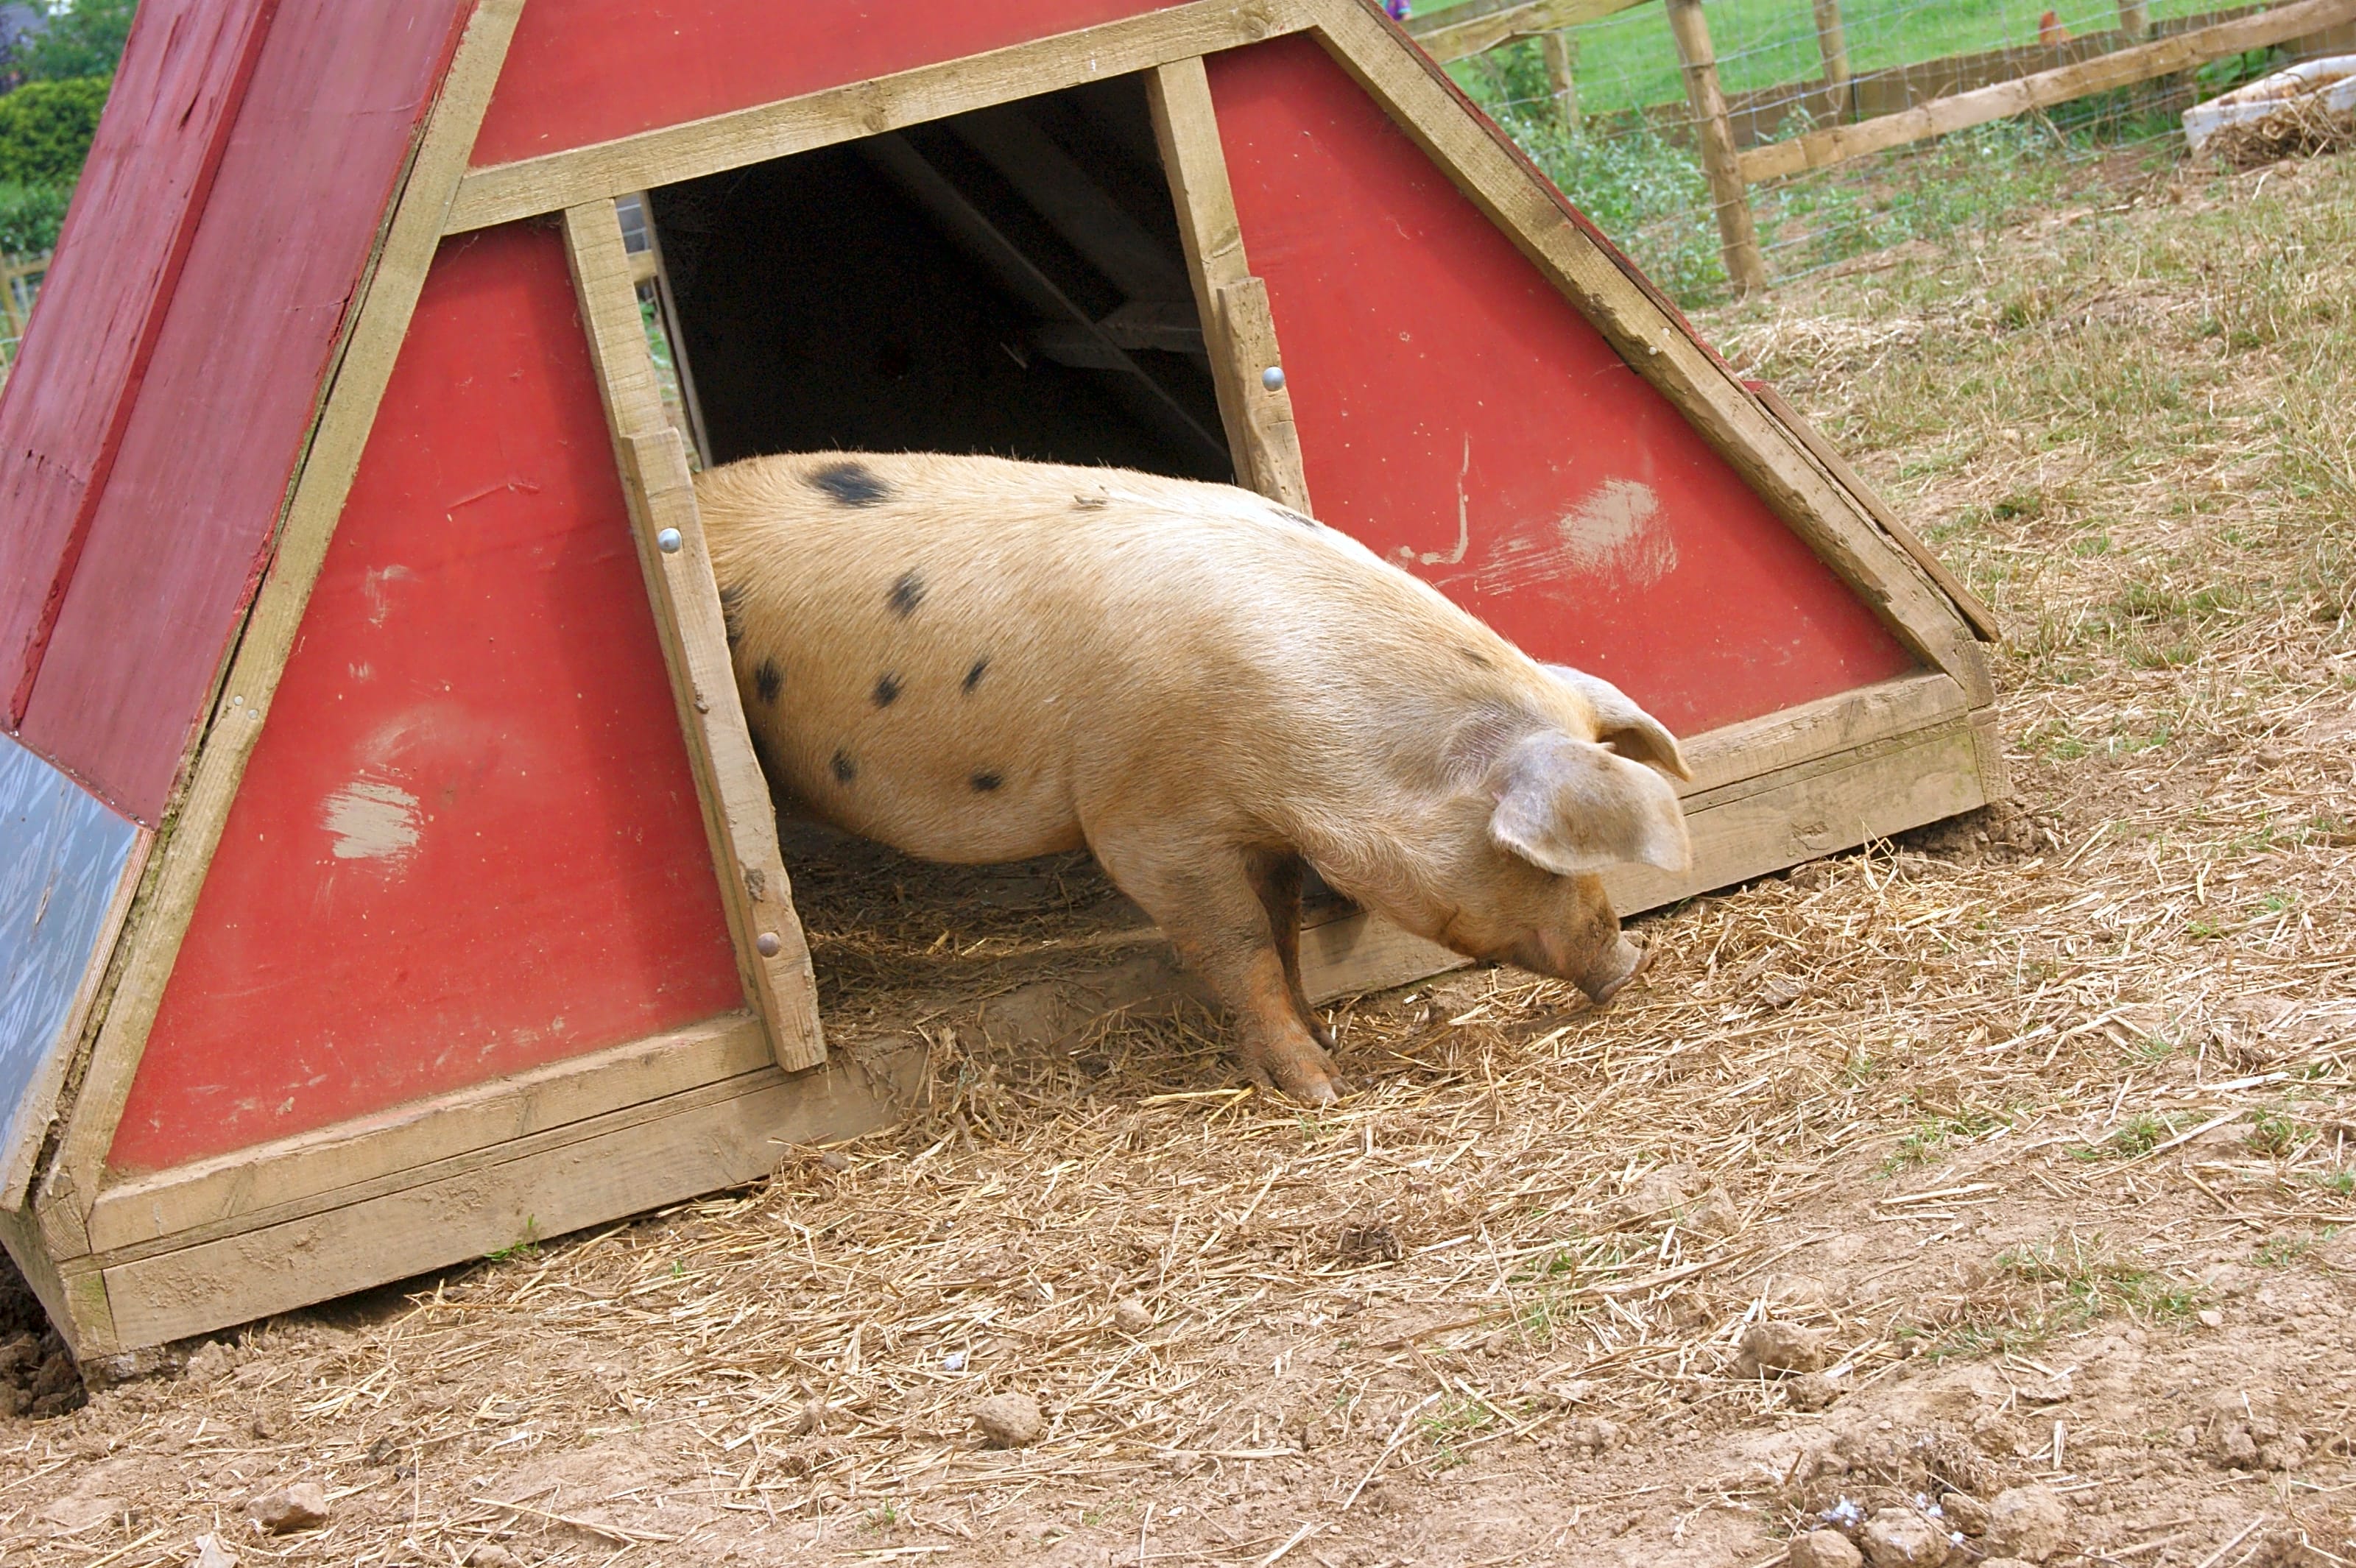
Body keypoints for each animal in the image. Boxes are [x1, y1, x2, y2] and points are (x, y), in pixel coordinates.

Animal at [697, 451, 1692, 1104]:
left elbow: (1283, 929)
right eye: (1533, 856)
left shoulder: (1265, 827)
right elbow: (1237, 946)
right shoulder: (1150, 827)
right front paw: (1321, 1088)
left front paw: (1322, 1032)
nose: (1630, 961)